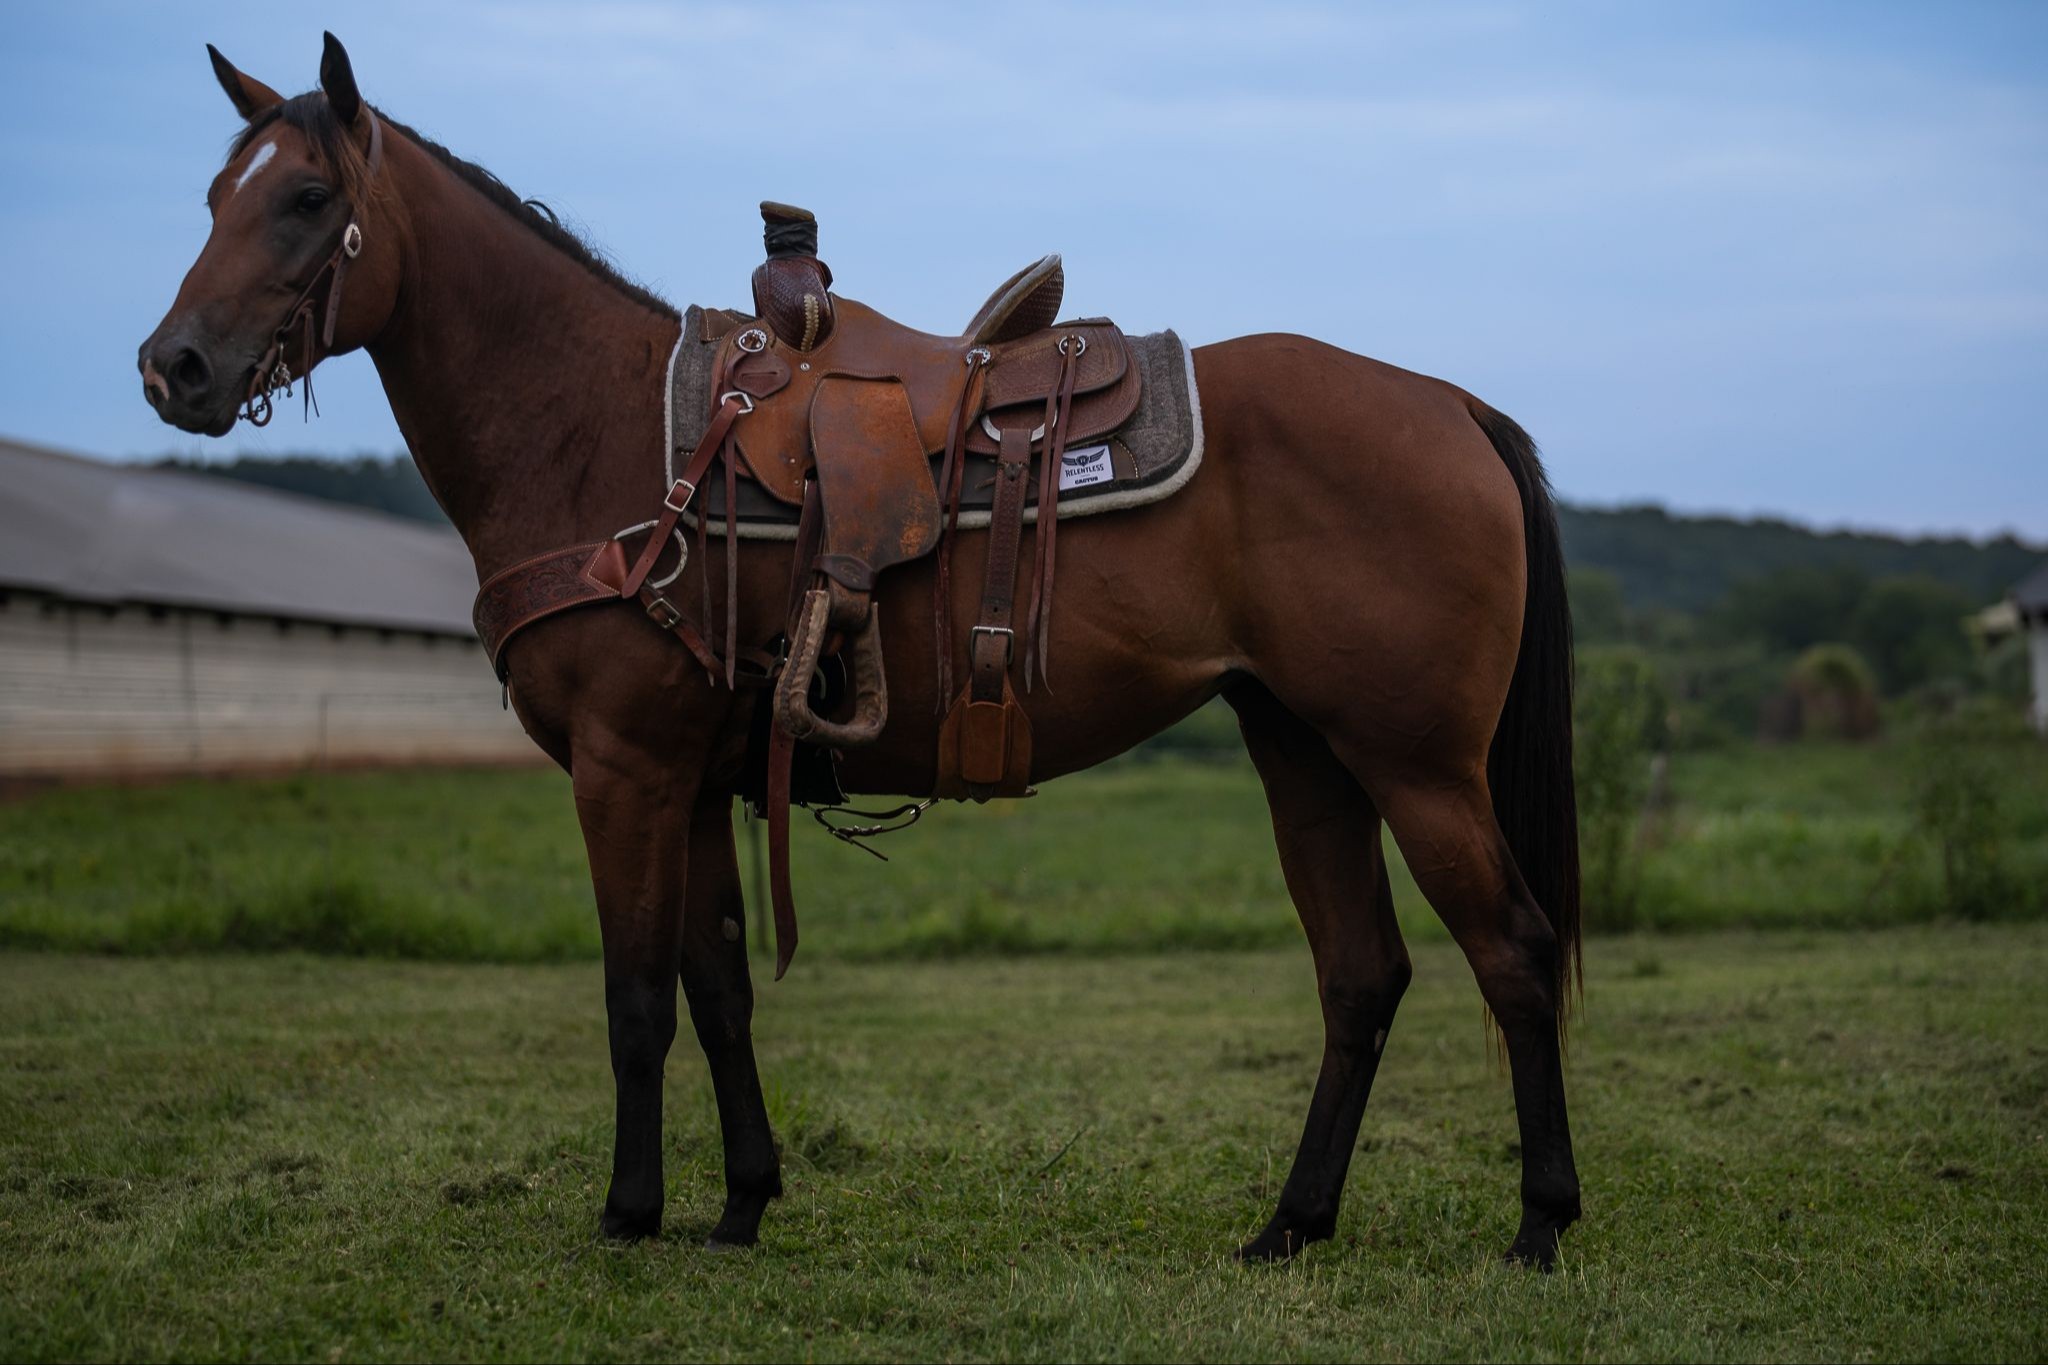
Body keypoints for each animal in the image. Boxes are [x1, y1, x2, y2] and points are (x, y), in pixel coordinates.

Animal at [138, 34, 1583, 1268]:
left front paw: (628, 1213)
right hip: (1305, 753)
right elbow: (716, 985)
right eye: (212, 195)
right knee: (1362, 974)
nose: (174, 369)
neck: (599, 434)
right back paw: (1291, 1224)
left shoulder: (622, 771)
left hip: (1415, 764)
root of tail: (1451, 406)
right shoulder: (695, 782)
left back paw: (1538, 1225)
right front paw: (740, 1205)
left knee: (1512, 953)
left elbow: (633, 998)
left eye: (306, 197)